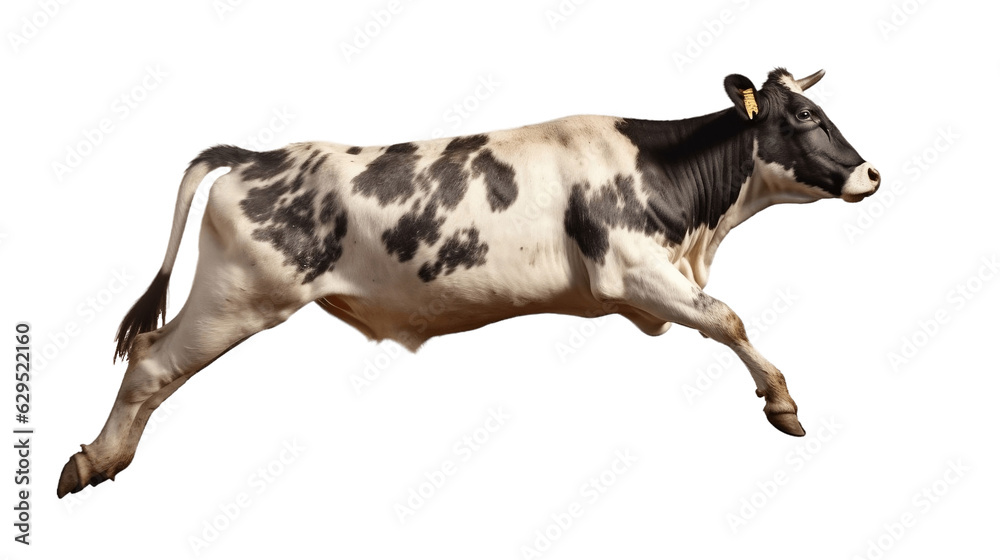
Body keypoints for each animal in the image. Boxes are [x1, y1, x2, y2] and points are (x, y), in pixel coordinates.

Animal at [57, 68, 880, 498]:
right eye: (806, 115)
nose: (871, 171)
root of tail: (259, 155)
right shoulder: (634, 271)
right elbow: (729, 318)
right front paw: (782, 404)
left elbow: (722, 316)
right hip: (241, 294)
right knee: (153, 362)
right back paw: (93, 461)